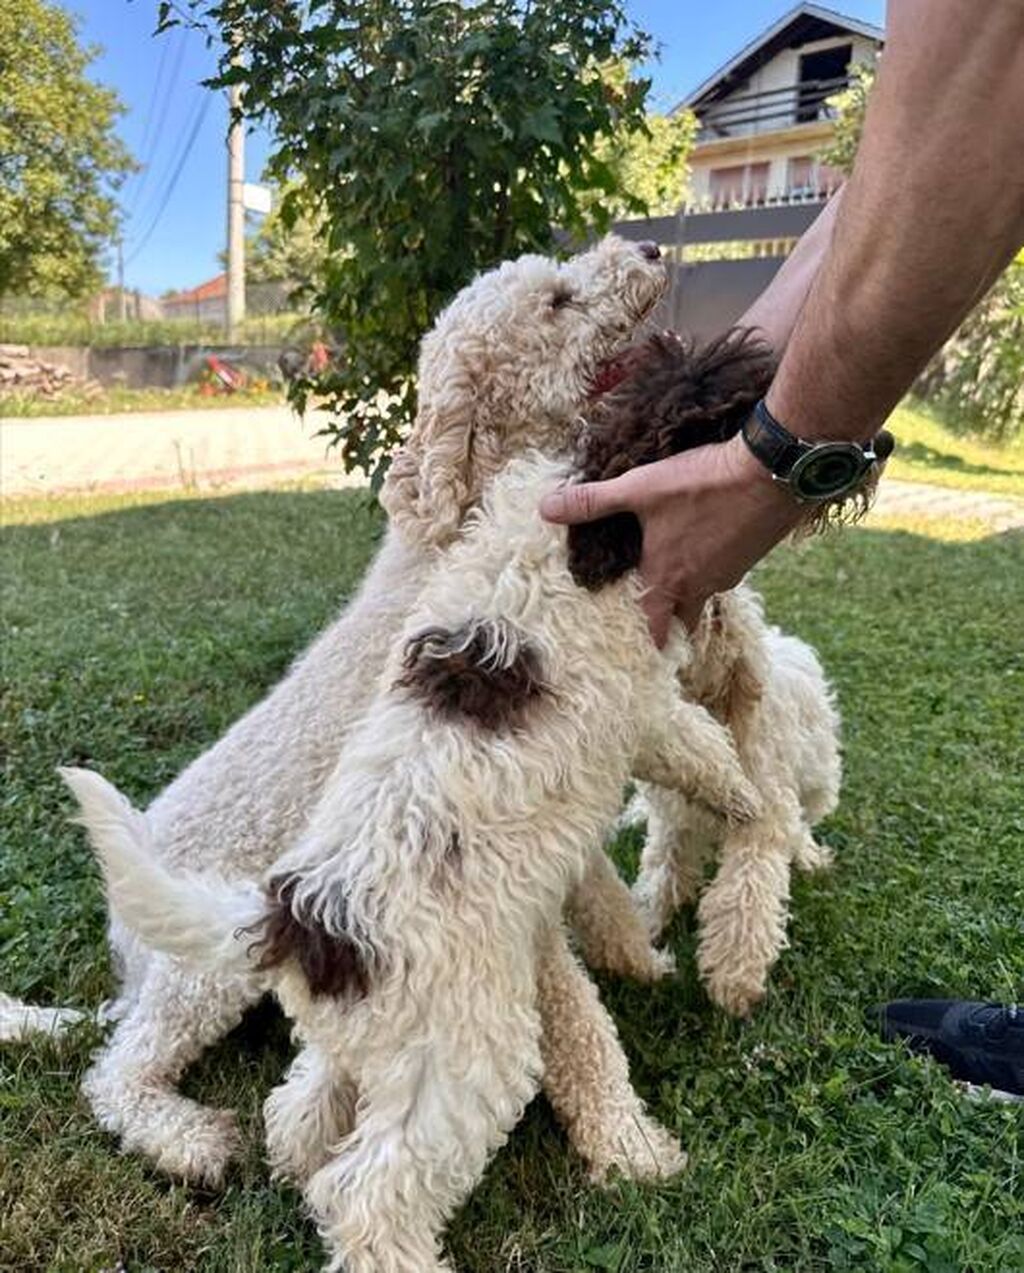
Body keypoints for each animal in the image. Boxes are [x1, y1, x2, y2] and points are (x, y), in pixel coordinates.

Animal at [8, 239, 677, 1191]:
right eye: (556, 301)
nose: (651, 245)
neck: (464, 519)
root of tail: (123, 956)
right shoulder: (492, 873)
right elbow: (575, 1011)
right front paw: (626, 1139)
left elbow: (605, 897)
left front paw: (640, 957)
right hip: (203, 973)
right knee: (116, 1071)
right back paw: (186, 1137)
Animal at [71, 450, 759, 1273]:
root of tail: (298, 921)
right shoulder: (634, 696)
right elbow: (694, 745)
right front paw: (746, 799)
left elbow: (602, 891)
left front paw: (642, 955)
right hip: (442, 1053)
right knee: (350, 1185)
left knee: (298, 1116)